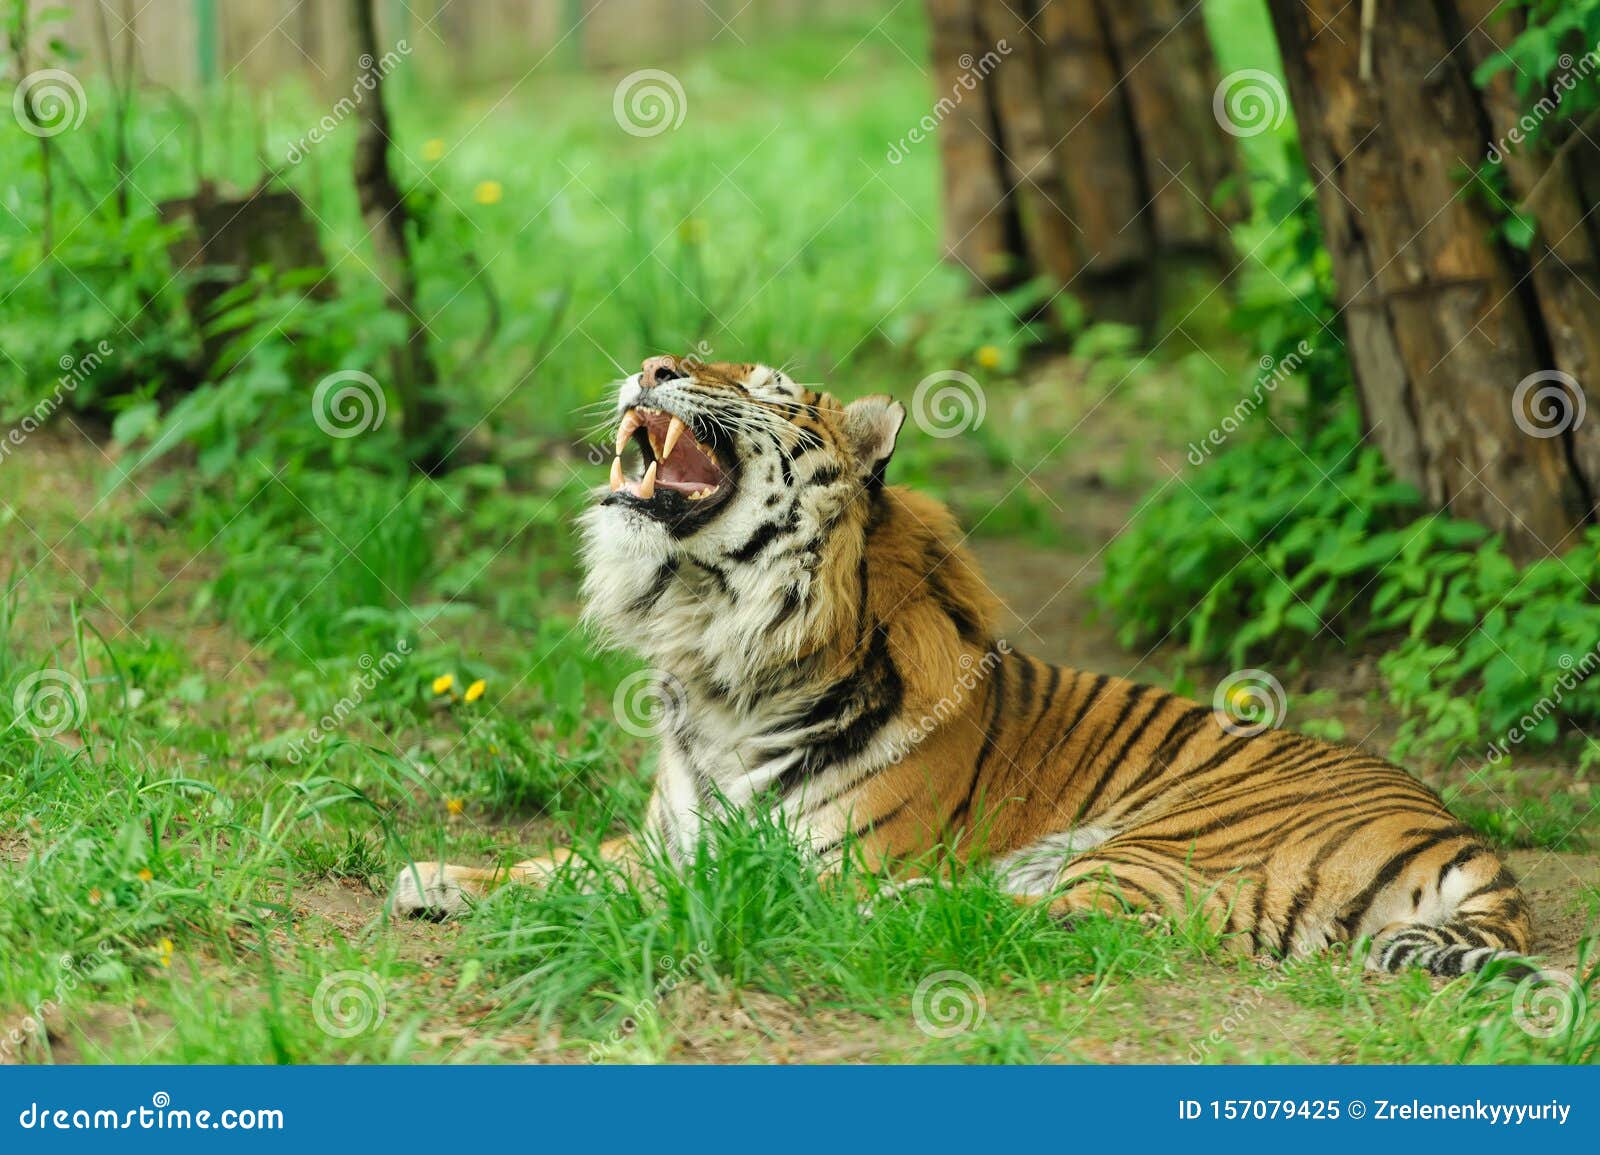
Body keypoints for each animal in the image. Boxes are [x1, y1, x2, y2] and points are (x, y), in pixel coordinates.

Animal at [391, 354, 1534, 979]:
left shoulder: (803, 859)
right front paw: (439, 876)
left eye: (765, 388)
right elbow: (567, 859)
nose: (656, 365)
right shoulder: (670, 835)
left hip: (1162, 844)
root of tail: (1459, 831)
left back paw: (903, 913)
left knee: (1064, 922)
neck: (715, 645)